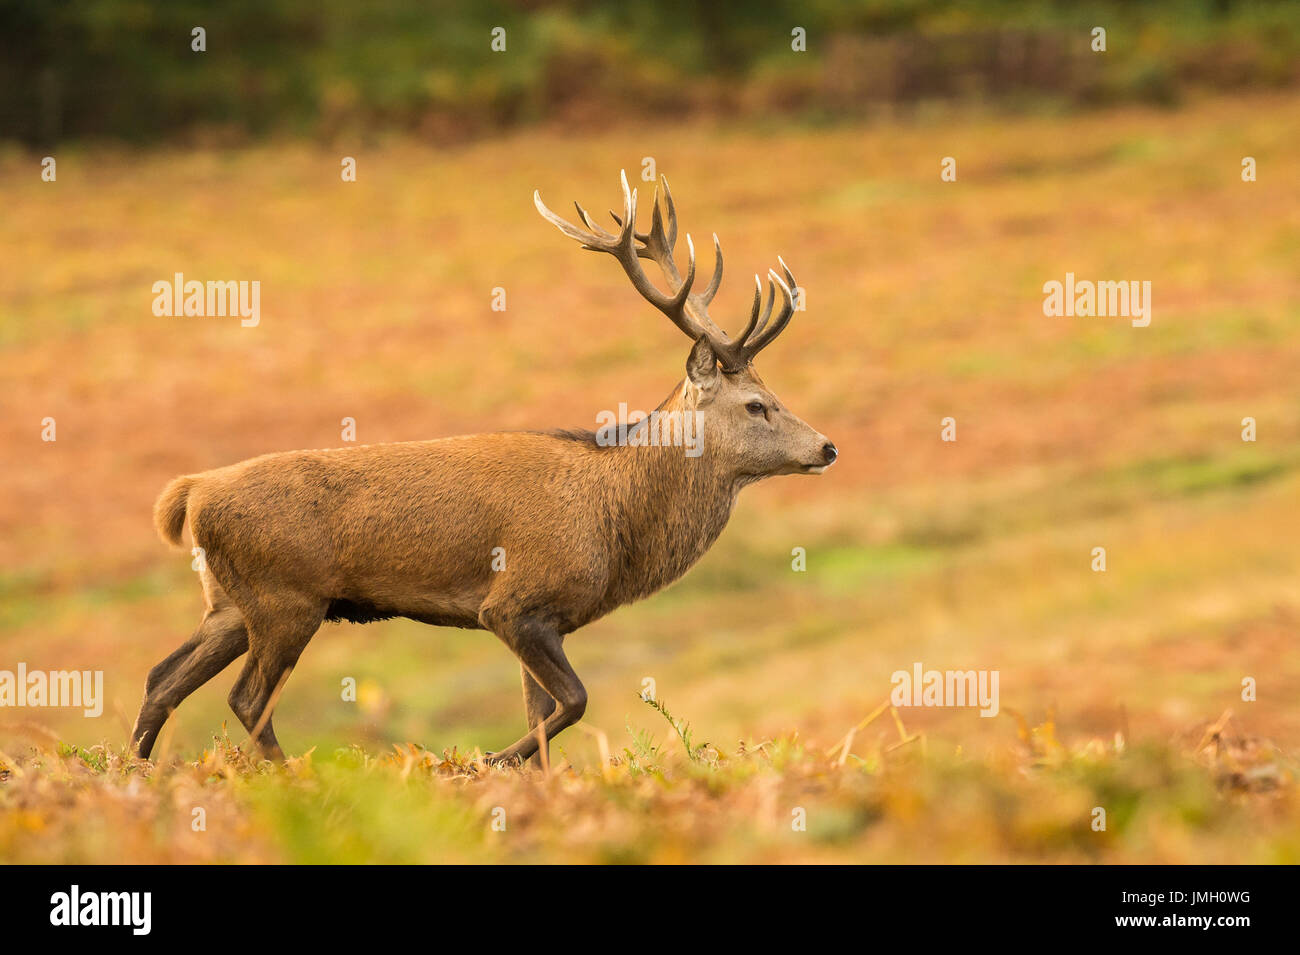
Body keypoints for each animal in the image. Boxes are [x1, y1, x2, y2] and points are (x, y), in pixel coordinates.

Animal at [131, 171, 837, 767]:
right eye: (756, 404)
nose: (827, 447)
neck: (615, 524)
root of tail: (191, 493)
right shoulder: (515, 602)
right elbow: (573, 703)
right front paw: (489, 760)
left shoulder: (548, 619)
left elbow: (544, 713)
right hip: (286, 597)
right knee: (246, 699)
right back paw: (290, 777)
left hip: (228, 602)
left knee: (163, 677)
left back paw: (134, 771)